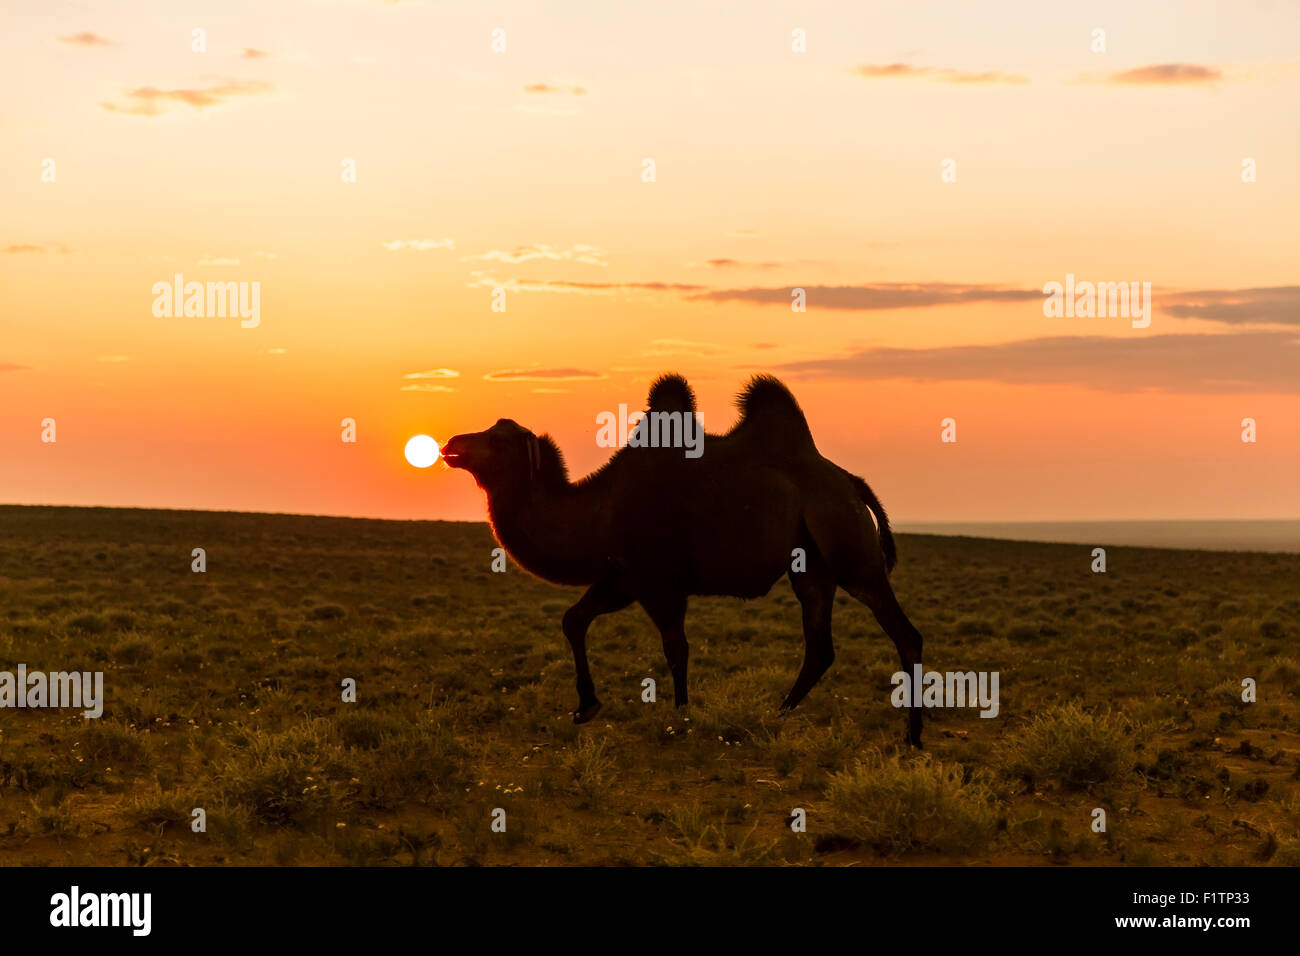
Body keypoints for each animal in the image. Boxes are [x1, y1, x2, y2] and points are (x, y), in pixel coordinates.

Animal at [442, 373, 926, 745]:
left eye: (496, 440)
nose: (450, 444)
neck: (596, 511)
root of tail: (852, 482)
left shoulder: (659, 580)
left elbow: (676, 648)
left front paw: (680, 719)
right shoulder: (624, 578)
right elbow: (573, 620)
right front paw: (585, 707)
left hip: (851, 552)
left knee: (905, 633)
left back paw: (913, 736)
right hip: (813, 568)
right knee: (820, 646)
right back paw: (777, 714)